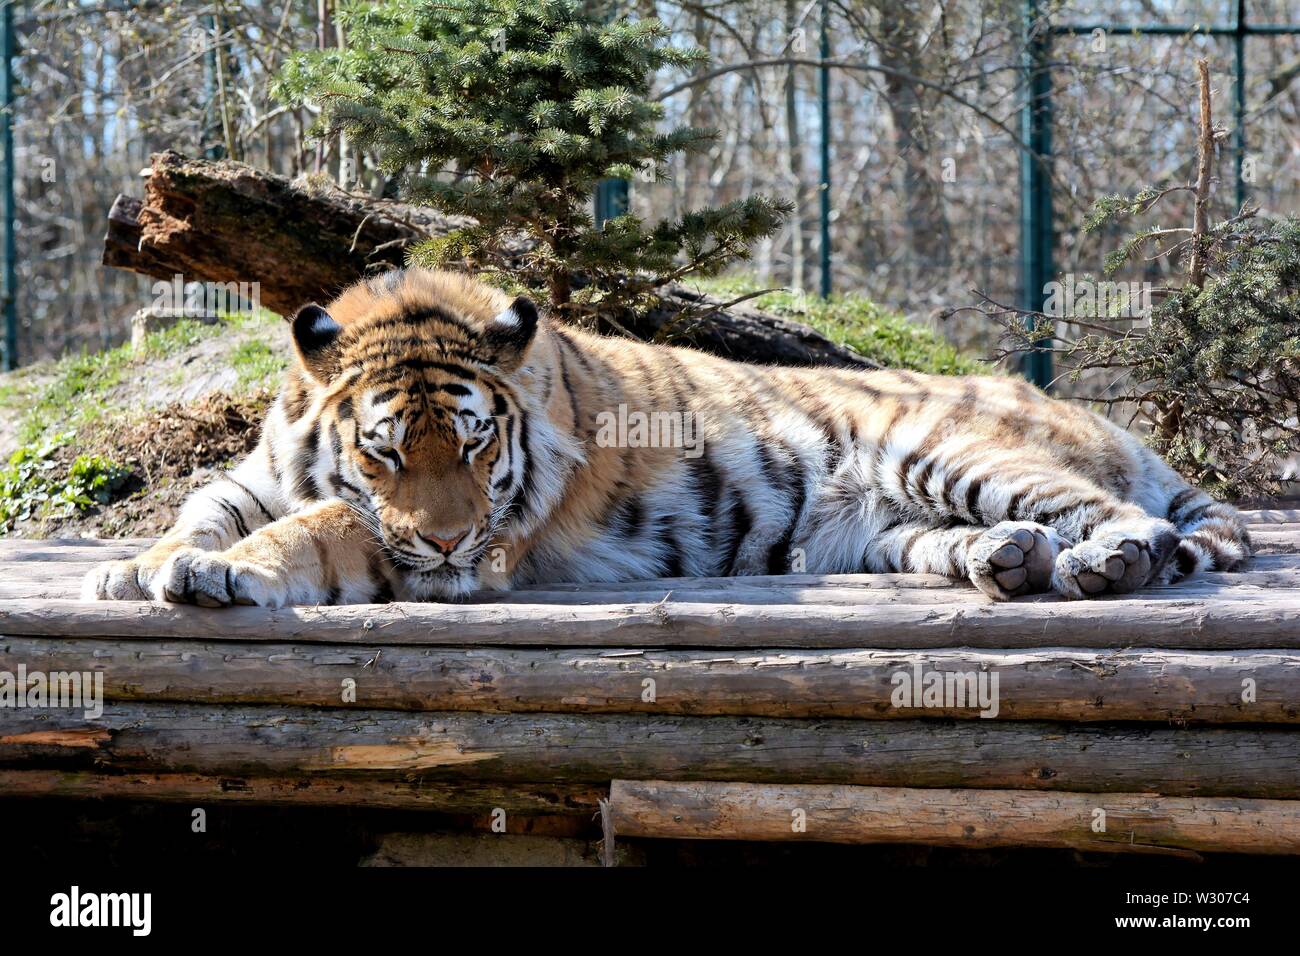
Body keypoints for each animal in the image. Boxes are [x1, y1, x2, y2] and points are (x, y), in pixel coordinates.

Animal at [83, 267, 1250, 608]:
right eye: (385, 449)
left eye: (472, 447)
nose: (451, 540)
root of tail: (1094, 414)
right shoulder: (269, 465)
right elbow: (215, 502)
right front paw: (144, 562)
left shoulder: (473, 552)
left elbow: (321, 526)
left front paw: (221, 573)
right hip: (879, 530)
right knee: (986, 539)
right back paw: (1004, 562)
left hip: (947, 451)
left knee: (1130, 519)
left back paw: (1103, 562)